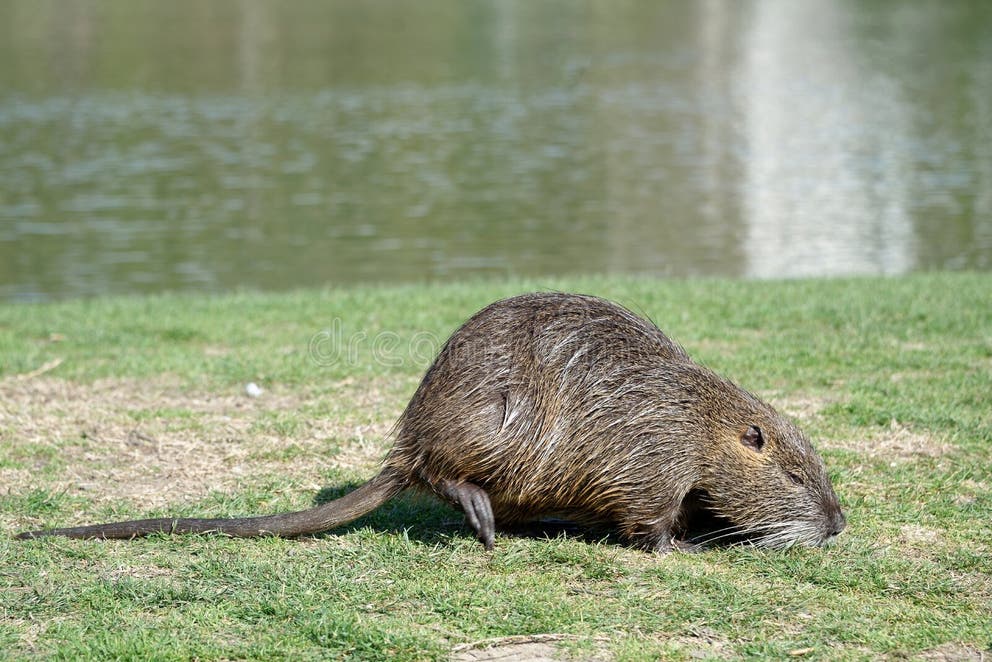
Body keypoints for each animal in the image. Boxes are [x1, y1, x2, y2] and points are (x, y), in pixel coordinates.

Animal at [15, 293, 846, 552]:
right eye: (795, 473)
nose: (837, 523)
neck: (693, 415)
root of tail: (401, 453)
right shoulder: (651, 459)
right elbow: (646, 522)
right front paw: (683, 545)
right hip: (497, 430)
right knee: (448, 478)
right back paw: (483, 519)